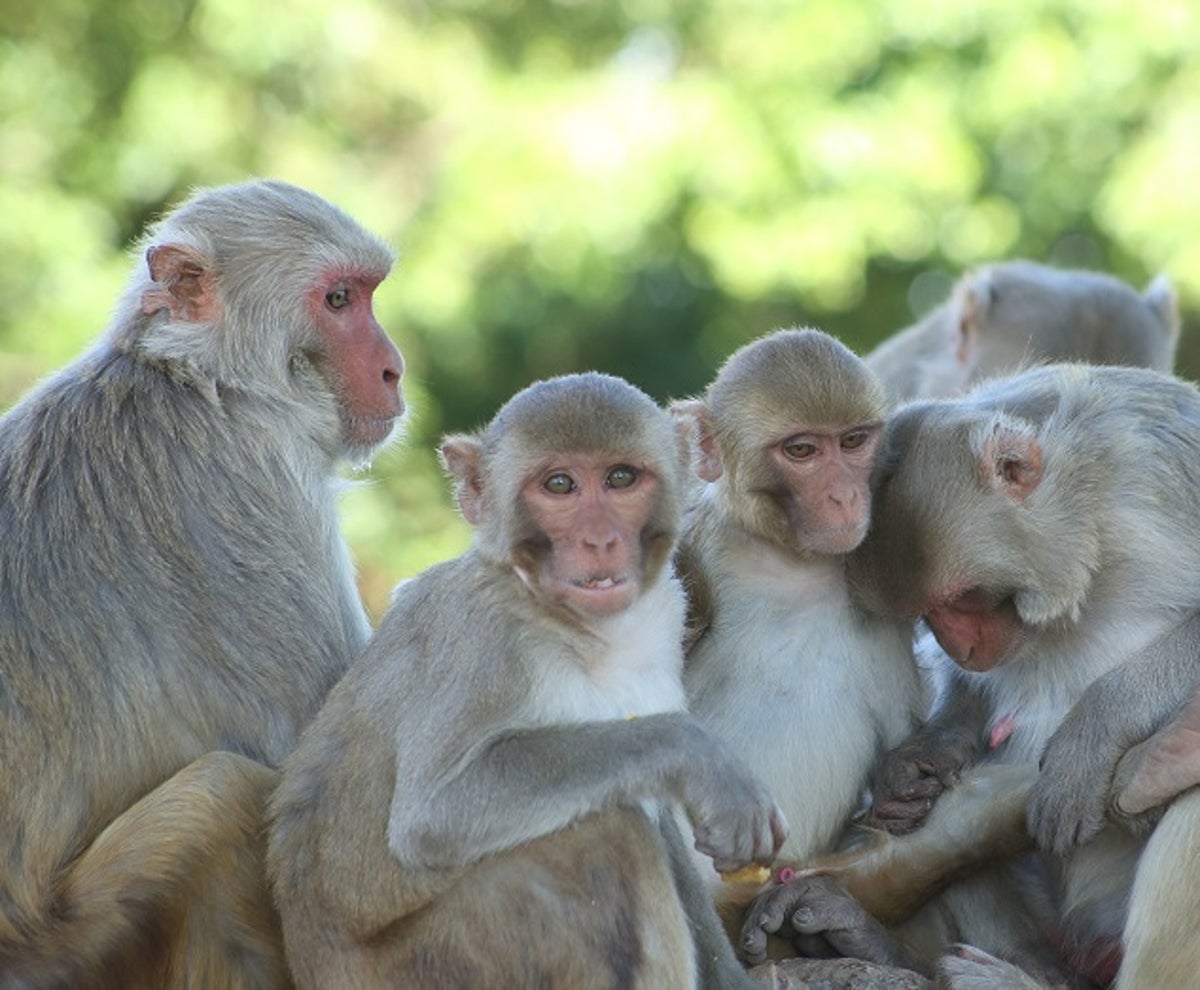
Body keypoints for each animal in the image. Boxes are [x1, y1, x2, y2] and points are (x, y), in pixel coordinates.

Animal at [0, 179, 404, 988]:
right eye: (338, 299)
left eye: (368, 293)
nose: (393, 369)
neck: (199, 379)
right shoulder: (262, 482)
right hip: (85, 939)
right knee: (225, 796)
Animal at [267, 372, 788, 990]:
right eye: (559, 485)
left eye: (621, 478)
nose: (598, 539)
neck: (577, 627)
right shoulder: (482, 641)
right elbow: (433, 812)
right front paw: (705, 761)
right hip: (441, 963)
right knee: (611, 834)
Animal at [740, 363, 1200, 988]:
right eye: (926, 613)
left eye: (965, 597)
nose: (960, 647)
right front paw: (918, 761)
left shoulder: (1152, 483)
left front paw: (1093, 736)